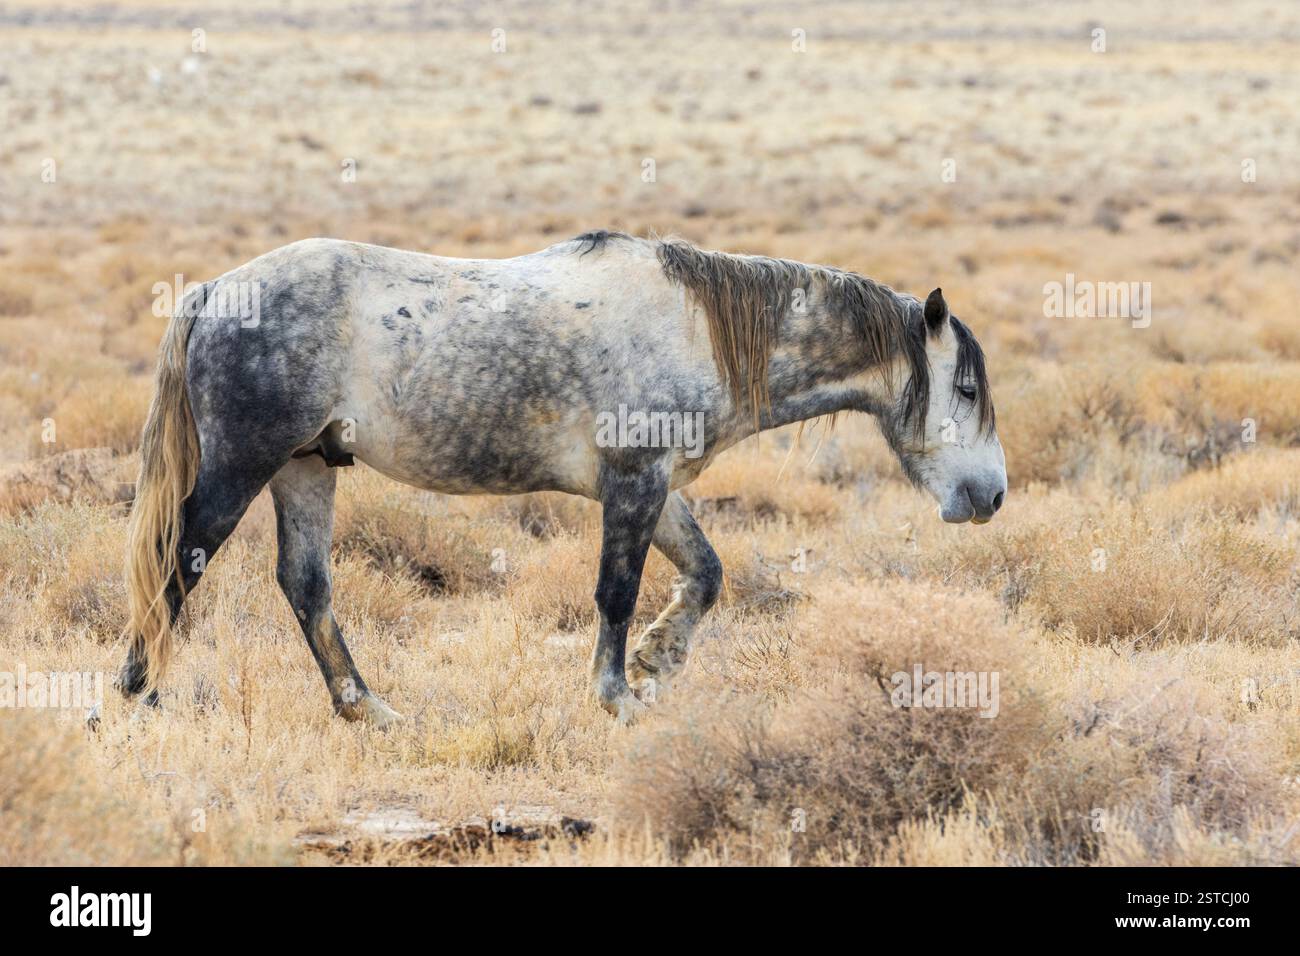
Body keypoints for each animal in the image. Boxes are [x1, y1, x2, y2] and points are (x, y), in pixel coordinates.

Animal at [121, 231, 1005, 726]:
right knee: (176, 563)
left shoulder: (655, 488)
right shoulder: (634, 484)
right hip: (244, 466)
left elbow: (707, 574)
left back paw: (368, 710)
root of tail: (214, 291)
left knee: (305, 587)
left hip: (305, 469)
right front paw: (618, 694)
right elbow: (616, 593)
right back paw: (140, 693)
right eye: (965, 388)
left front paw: (657, 660)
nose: (992, 495)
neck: (700, 326)